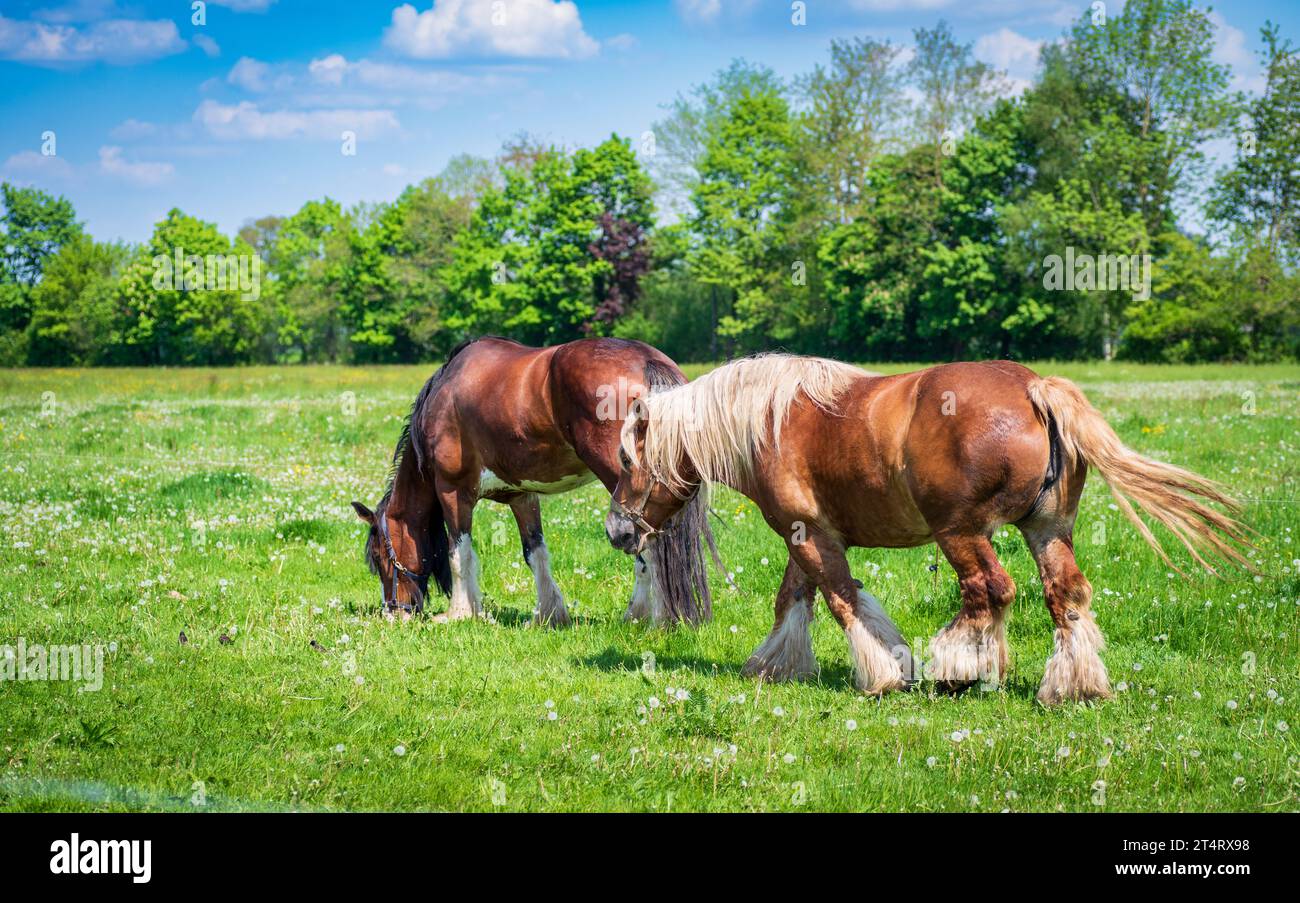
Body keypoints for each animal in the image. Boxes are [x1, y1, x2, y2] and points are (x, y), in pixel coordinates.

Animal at [352, 336, 717, 627]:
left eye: (379, 557)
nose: (393, 612)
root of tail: (646, 361)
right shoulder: (522, 496)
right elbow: (535, 552)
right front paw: (548, 614)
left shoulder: (452, 491)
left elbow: (460, 553)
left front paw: (461, 613)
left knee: (646, 544)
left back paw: (649, 618)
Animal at [605, 354, 1249, 704]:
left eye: (629, 459)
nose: (616, 529)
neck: (768, 422)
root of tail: (1034, 388)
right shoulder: (807, 535)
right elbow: (793, 599)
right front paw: (775, 665)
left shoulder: (811, 536)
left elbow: (842, 601)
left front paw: (888, 673)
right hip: (1047, 529)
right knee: (1065, 594)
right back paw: (1074, 685)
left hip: (961, 532)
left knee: (989, 592)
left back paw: (957, 669)